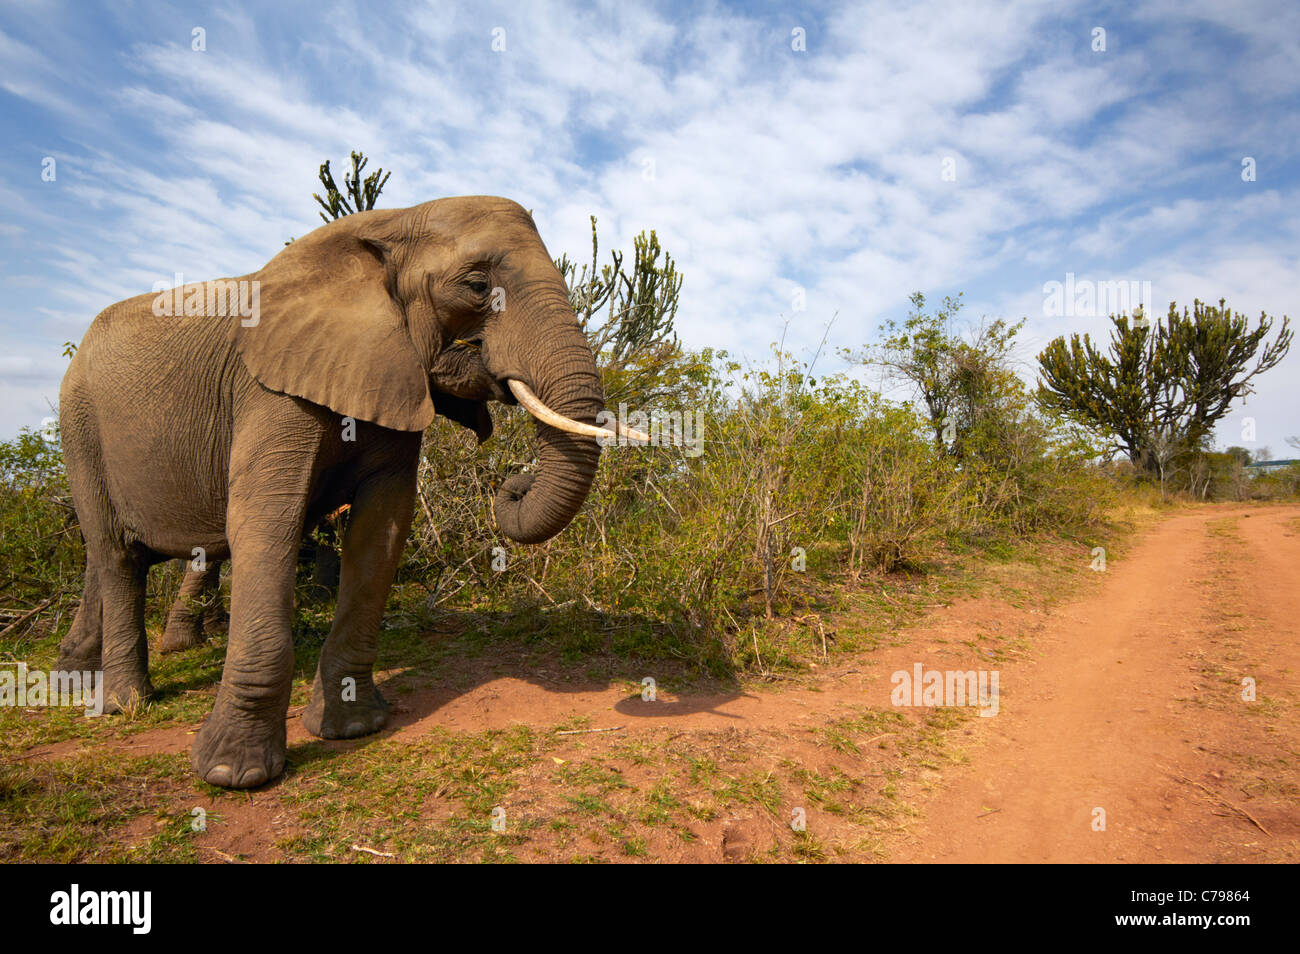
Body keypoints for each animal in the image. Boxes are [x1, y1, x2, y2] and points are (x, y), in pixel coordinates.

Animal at [56, 196, 622, 788]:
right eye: (475, 284)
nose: (514, 484)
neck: (393, 222)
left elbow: (382, 530)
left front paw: (352, 728)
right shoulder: (270, 392)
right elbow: (264, 523)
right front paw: (232, 773)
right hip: (80, 427)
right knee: (117, 556)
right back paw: (124, 704)